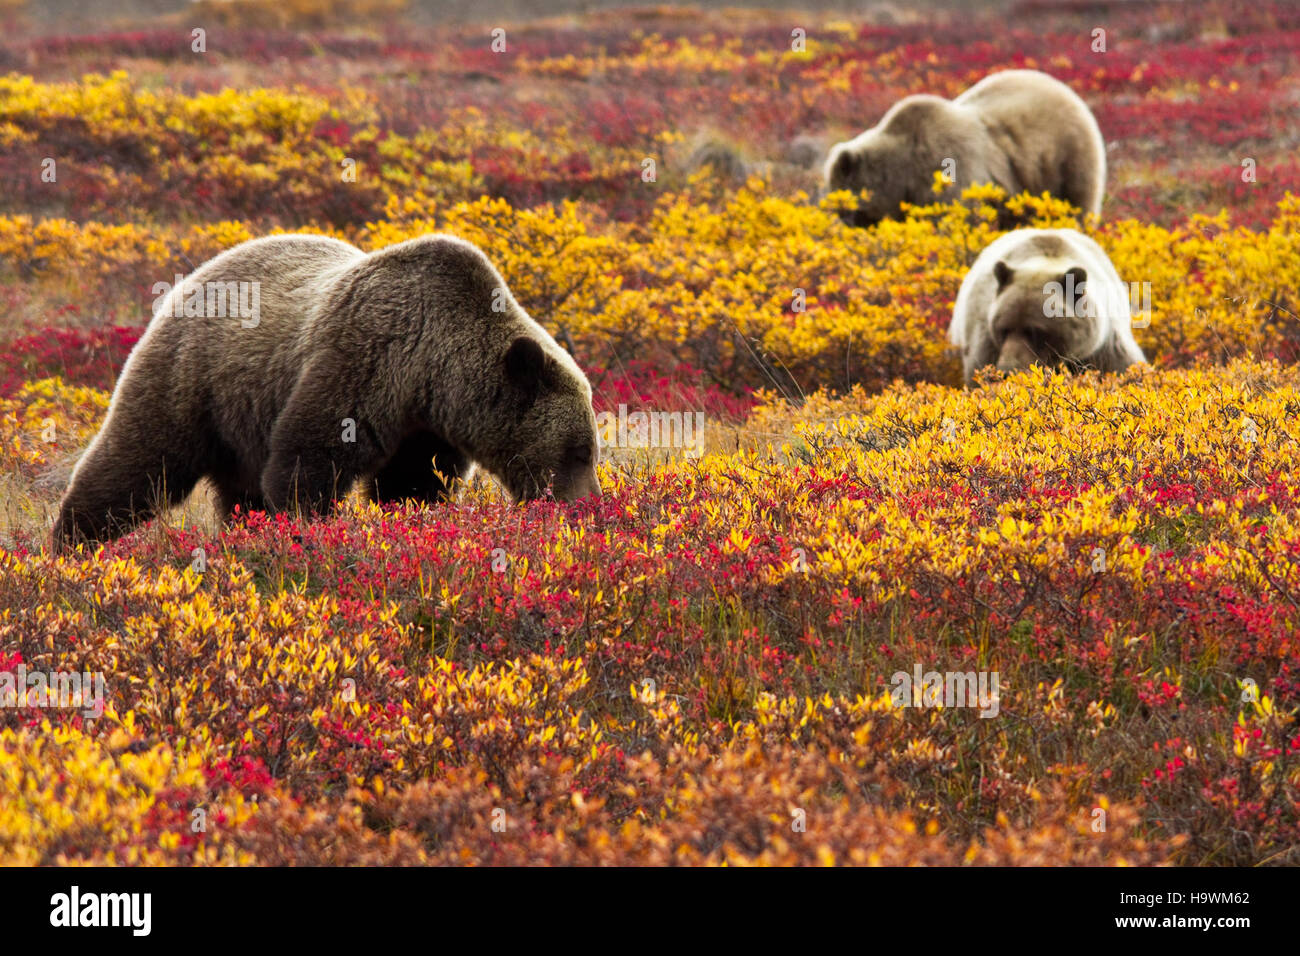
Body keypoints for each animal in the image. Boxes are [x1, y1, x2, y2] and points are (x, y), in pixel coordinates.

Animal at [51, 233, 602, 550]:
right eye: (580, 451)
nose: (588, 509)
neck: (431, 372)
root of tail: (197, 275)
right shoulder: (365, 361)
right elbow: (308, 466)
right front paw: (308, 536)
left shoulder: (425, 429)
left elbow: (412, 486)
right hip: (193, 376)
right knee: (140, 461)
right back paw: (71, 543)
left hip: (240, 420)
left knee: (235, 493)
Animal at [823, 69, 1106, 227]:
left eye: (842, 204)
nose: (846, 223)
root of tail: (1067, 90)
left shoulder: (950, 171)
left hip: (1066, 159)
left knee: (1078, 204)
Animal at [947, 227, 1146, 385]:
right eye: (1003, 329)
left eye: (1035, 331)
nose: (1007, 371)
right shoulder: (984, 336)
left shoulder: (1102, 346)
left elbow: (1123, 367)